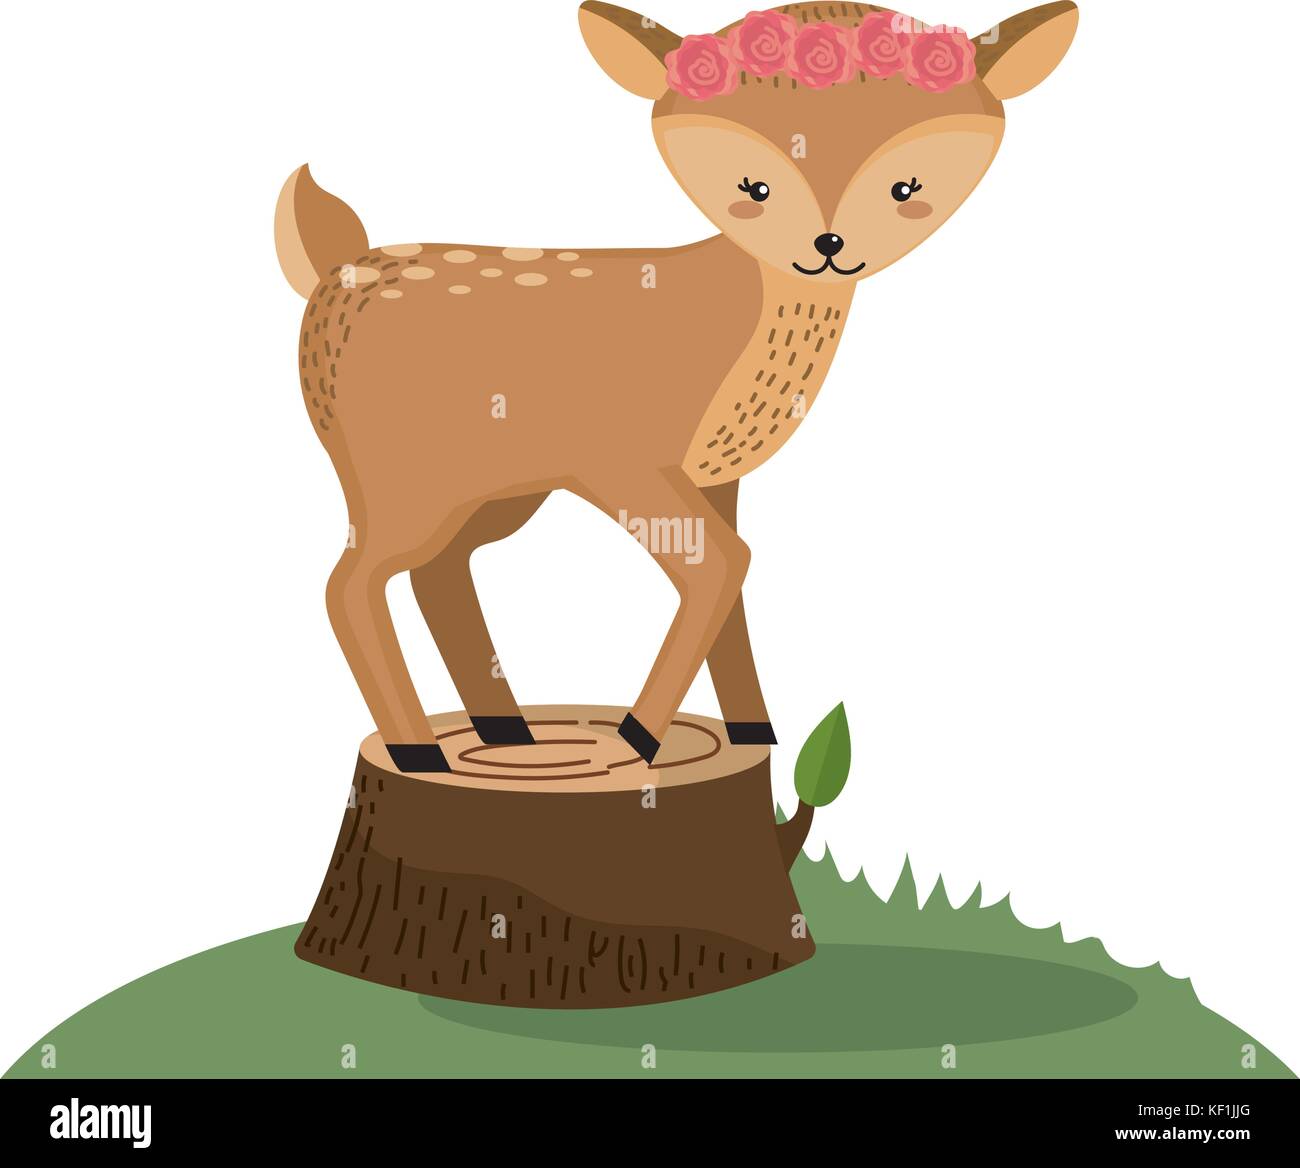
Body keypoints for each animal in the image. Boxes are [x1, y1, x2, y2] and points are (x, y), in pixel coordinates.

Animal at [275, 2, 1079, 774]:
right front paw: (637, 739)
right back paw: (421, 746)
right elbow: (724, 563)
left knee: (436, 574)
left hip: (492, 491)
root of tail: (333, 271)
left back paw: (510, 732)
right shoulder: (624, 460)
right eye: (752, 187)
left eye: (906, 188)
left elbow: (737, 577)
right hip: (400, 480)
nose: (829, 245)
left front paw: (753, 727)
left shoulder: (716, 476)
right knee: (348, 584)